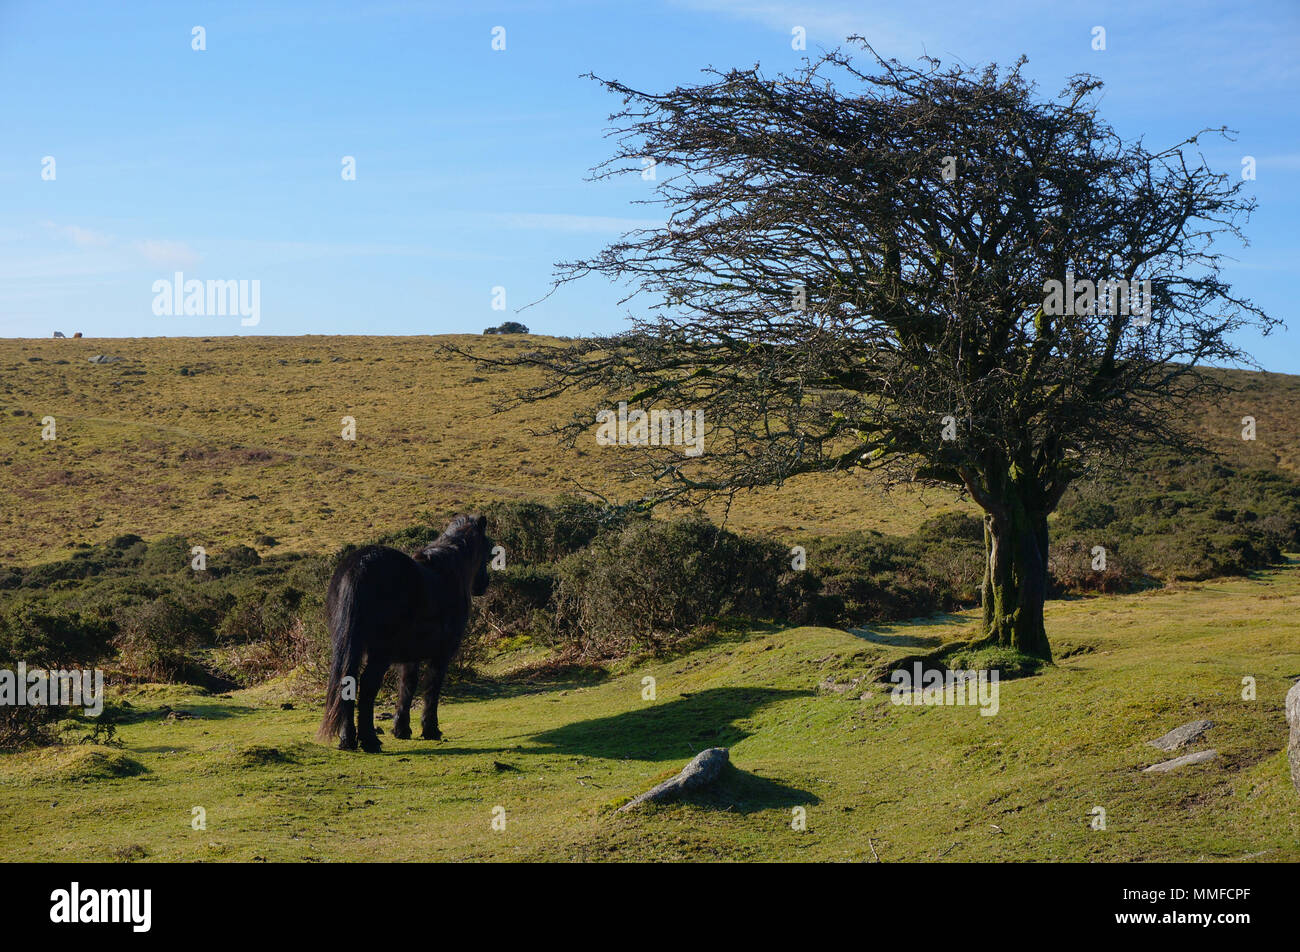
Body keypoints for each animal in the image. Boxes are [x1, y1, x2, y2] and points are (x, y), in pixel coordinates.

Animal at [316, 514, 492, 752]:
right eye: (488, 549)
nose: (483, 584)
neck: (448, 572)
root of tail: (358, 565)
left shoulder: (411, 657)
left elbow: (407, 687)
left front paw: (401, 729)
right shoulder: (442, 654)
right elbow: (432, 688)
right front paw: (431, 730)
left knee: (347, 682)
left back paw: (348, 739)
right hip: (379, 652)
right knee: (368, 686)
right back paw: (370, 740)